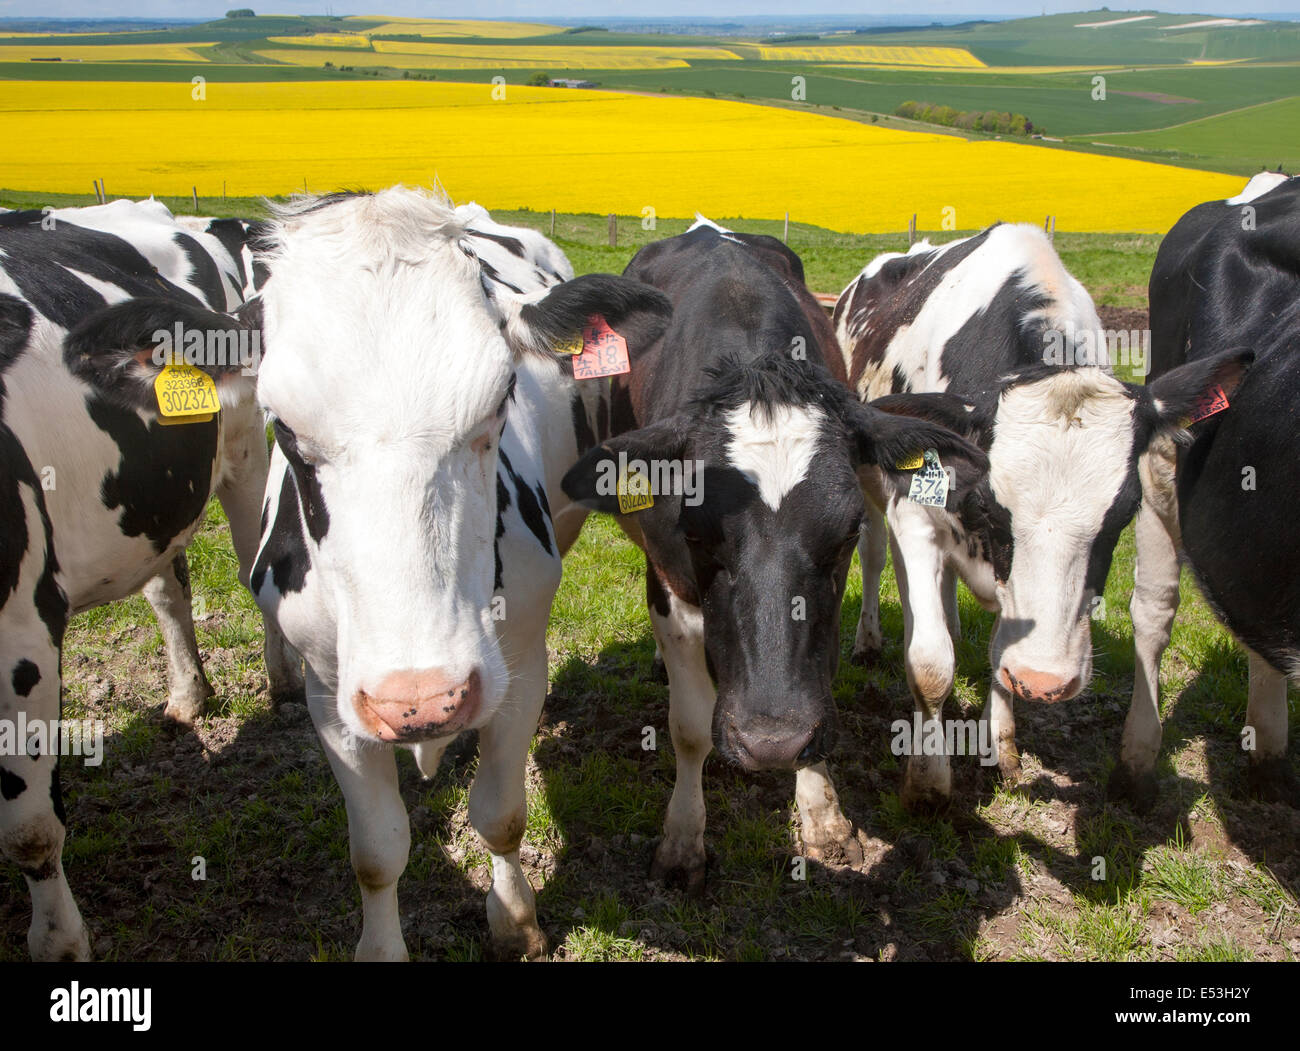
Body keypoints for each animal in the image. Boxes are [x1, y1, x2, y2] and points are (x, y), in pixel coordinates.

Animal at [0, 198, 297, 960]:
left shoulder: (22, 629)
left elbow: (29, 830)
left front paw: (61, 942)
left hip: (243, 451)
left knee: (255, 567)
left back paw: (282, 681)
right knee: (168, 588)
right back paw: (189, 694)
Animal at [65, 188, 672, 960]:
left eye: (501, 399)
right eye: (283, 425)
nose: (424, 698)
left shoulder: (523, 660)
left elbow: (501, 814)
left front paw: (515, 920)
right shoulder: (332, 693)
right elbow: (378, 850)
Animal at [561, 219, 989, 888]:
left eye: (845, 532)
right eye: (696, 530)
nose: (770, 743)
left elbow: (821, 680)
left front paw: (823, 816)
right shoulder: (668, 576)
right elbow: (689, 728)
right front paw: (682, 840)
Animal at [833, 221, 1248, 810]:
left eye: (1124, 513)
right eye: (991, 505)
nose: (1046, 681)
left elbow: (1000, 645)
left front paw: (1000, 746)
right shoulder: (914, 507)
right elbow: (931, 663)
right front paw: (929, 782)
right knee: (873, 555)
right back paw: (869, 640)